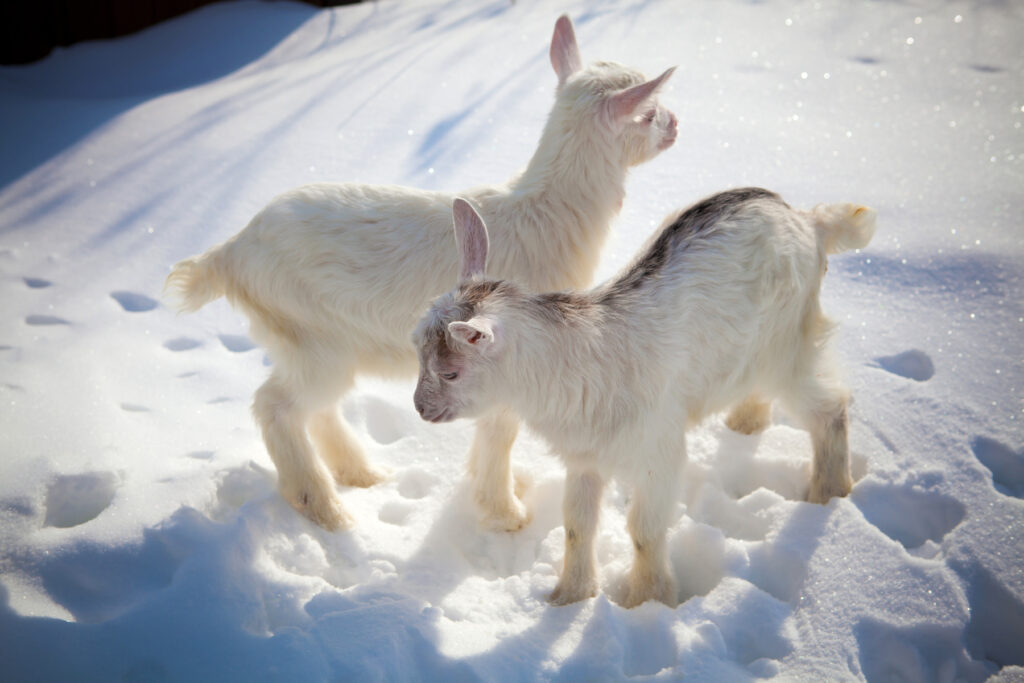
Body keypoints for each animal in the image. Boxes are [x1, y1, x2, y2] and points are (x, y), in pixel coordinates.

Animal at [164, 15, 678, 531]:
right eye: (648, 113)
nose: (675, 125)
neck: (547, 211)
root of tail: (230, 253)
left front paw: (506, 493)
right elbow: (502, 432)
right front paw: (507, 515)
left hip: (304, 341)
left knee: (317, 409)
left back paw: (361, 474)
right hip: (309, 336)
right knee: (276, 407)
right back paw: (328, 510)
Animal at [413, 193, 876, 607]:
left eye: (450, 371)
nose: (420, 408)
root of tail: (810, 221)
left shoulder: (658, 453)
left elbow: (643, 530)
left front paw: (648, 601)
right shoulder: (584, 456)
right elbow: (577, 526)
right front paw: (569, 598)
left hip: (787, 345)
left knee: (830, 406)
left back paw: (827, 494)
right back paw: (746, 423)